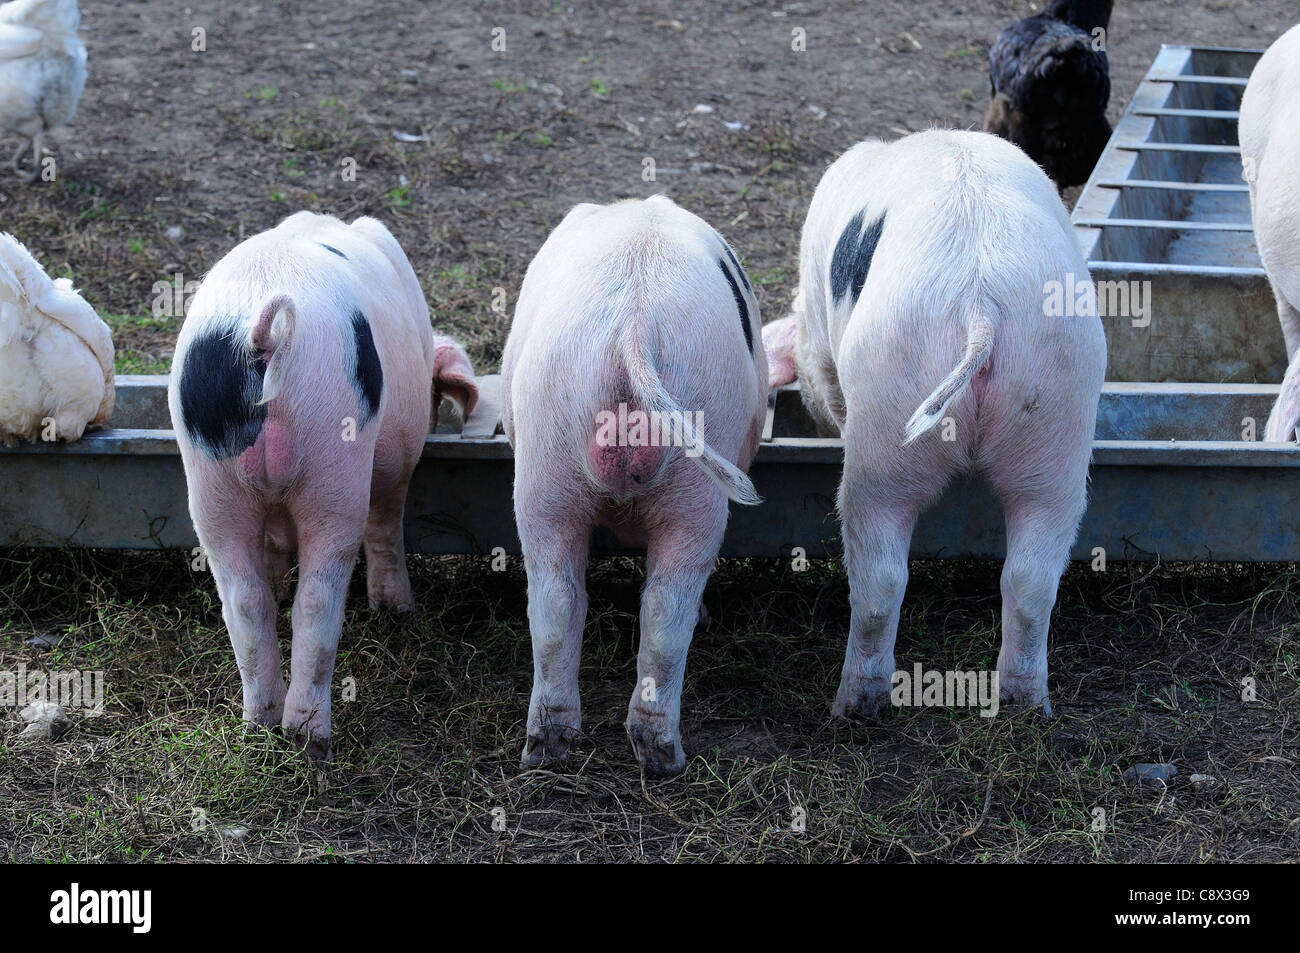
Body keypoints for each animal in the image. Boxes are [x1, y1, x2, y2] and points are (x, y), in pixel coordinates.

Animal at [168, 211, 478, 758]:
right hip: (336, 459)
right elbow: (387, 518)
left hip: (209, 477)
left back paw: (259, 725)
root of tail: (264, 335)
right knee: (318, 598)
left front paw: (276, 575)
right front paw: (396, 610)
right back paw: (311, 739)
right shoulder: (399, 453)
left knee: (244, 598)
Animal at [502, 195, 766, 777]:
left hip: (547, 455)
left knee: (560, 601)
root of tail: (634, 324)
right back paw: (664, 759)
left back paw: (551, 750)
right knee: (668, 602)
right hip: (700, 452)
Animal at [764, 131, 1105, 718]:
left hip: (888, 399)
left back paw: (852, 708)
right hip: (1057, 405)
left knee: (879, 576)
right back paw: (1024, 705)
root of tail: (979, 307)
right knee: (1032, 577)